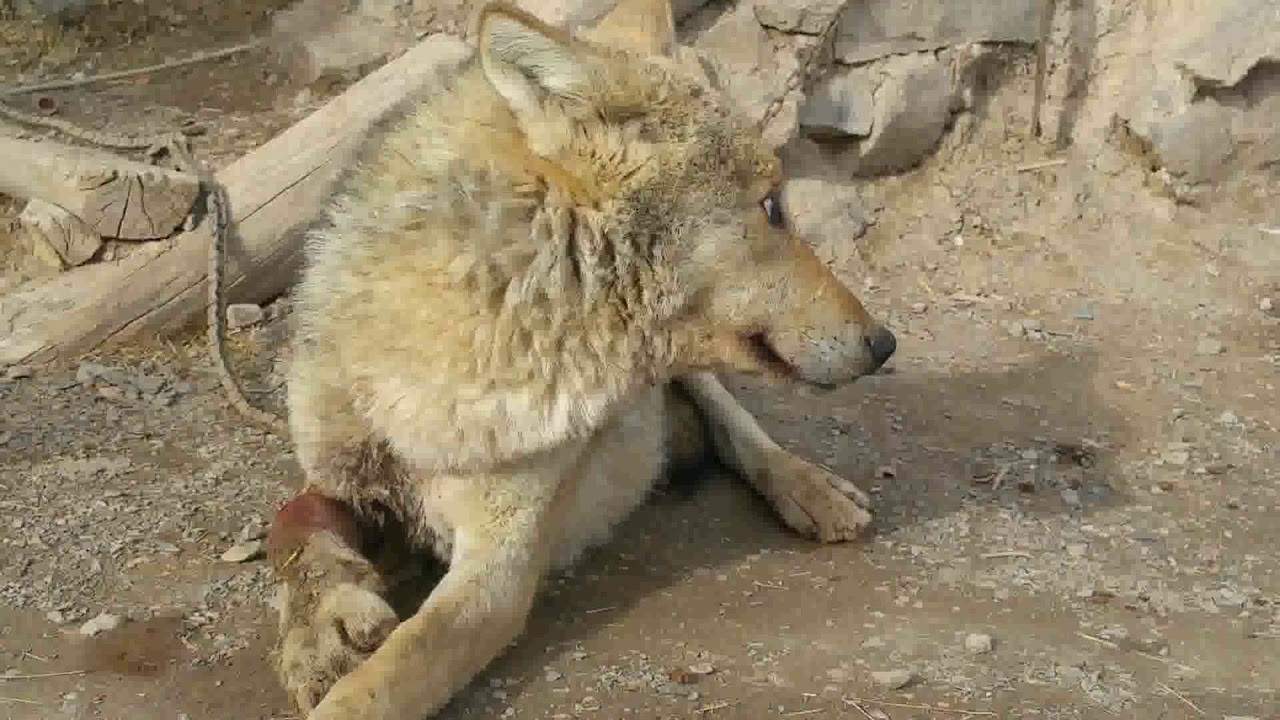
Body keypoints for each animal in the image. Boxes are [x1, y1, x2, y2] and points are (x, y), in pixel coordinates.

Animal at [264, 0, 897, 717]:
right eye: (770, 207)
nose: (885, 343)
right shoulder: (341, 475)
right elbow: (290, 525)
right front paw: (322, 629)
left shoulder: (496, 580)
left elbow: (376, 687)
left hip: (683, 371)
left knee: (738, 428)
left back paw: (812, 492)